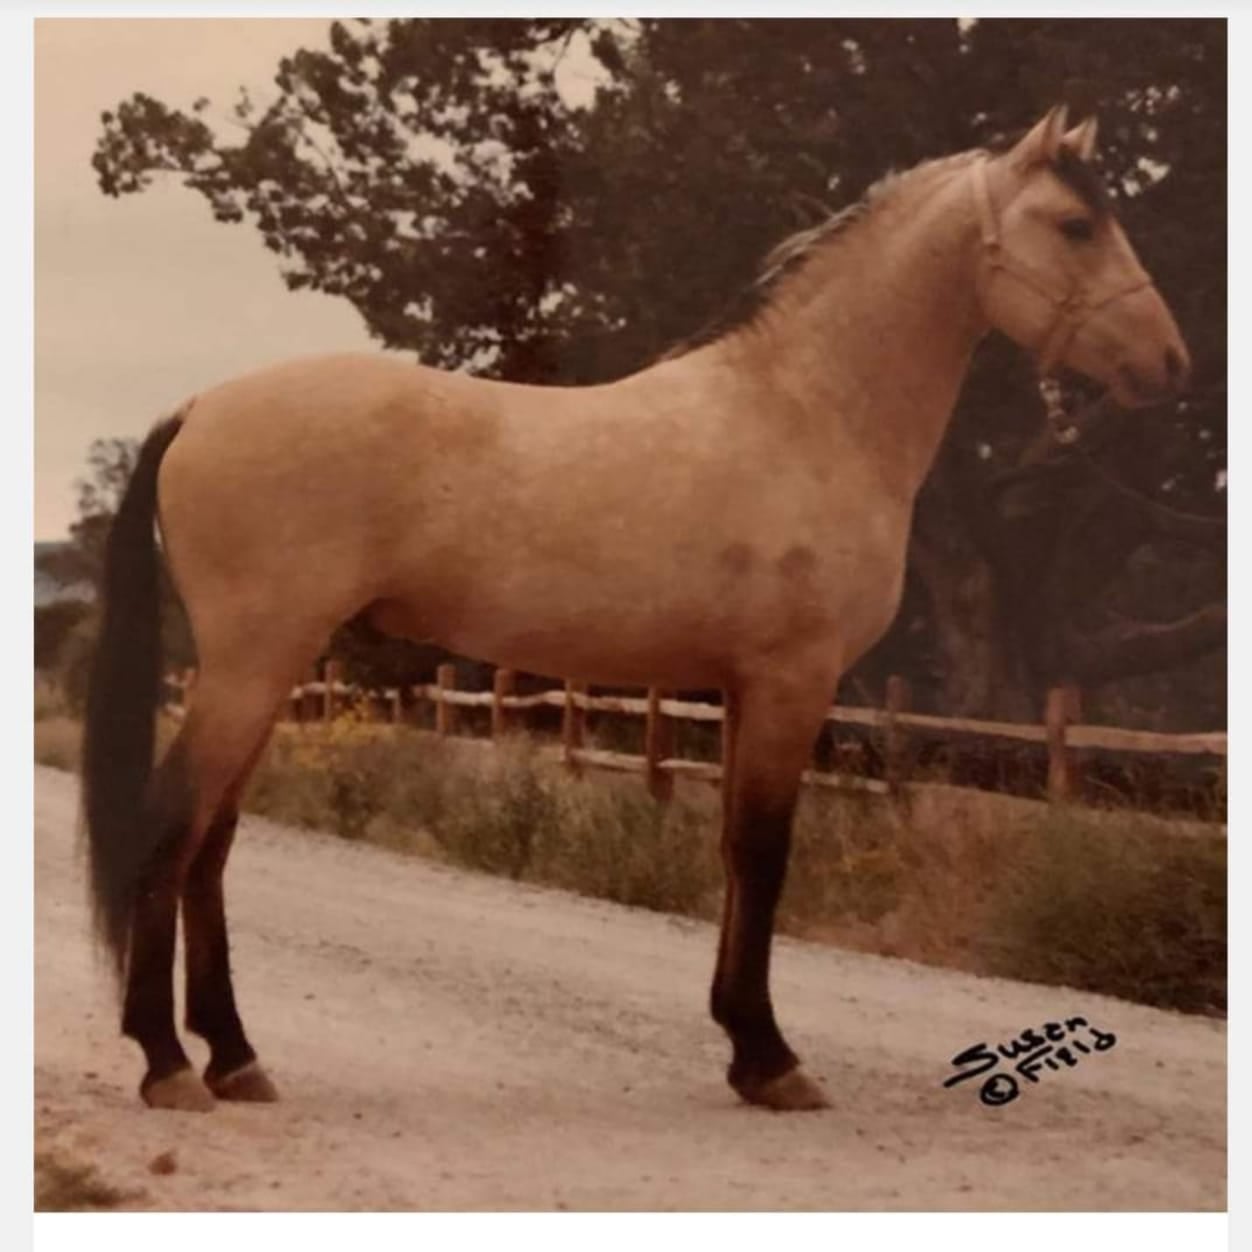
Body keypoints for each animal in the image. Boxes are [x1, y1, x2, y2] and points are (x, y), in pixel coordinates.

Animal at [81, 106, 1189, 1114]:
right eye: (1074, 225)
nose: (1170, 365)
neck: (806, 410)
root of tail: (202, 409)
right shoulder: (791, 681)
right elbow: (763, 854)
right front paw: (773, 1061)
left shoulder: (744, 688)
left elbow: (736, 855)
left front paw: (745, 1048)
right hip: (252, 663)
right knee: (173, 829)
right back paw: (169, 1062)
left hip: (261, 671)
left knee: (210, 843)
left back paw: (234, 1057)